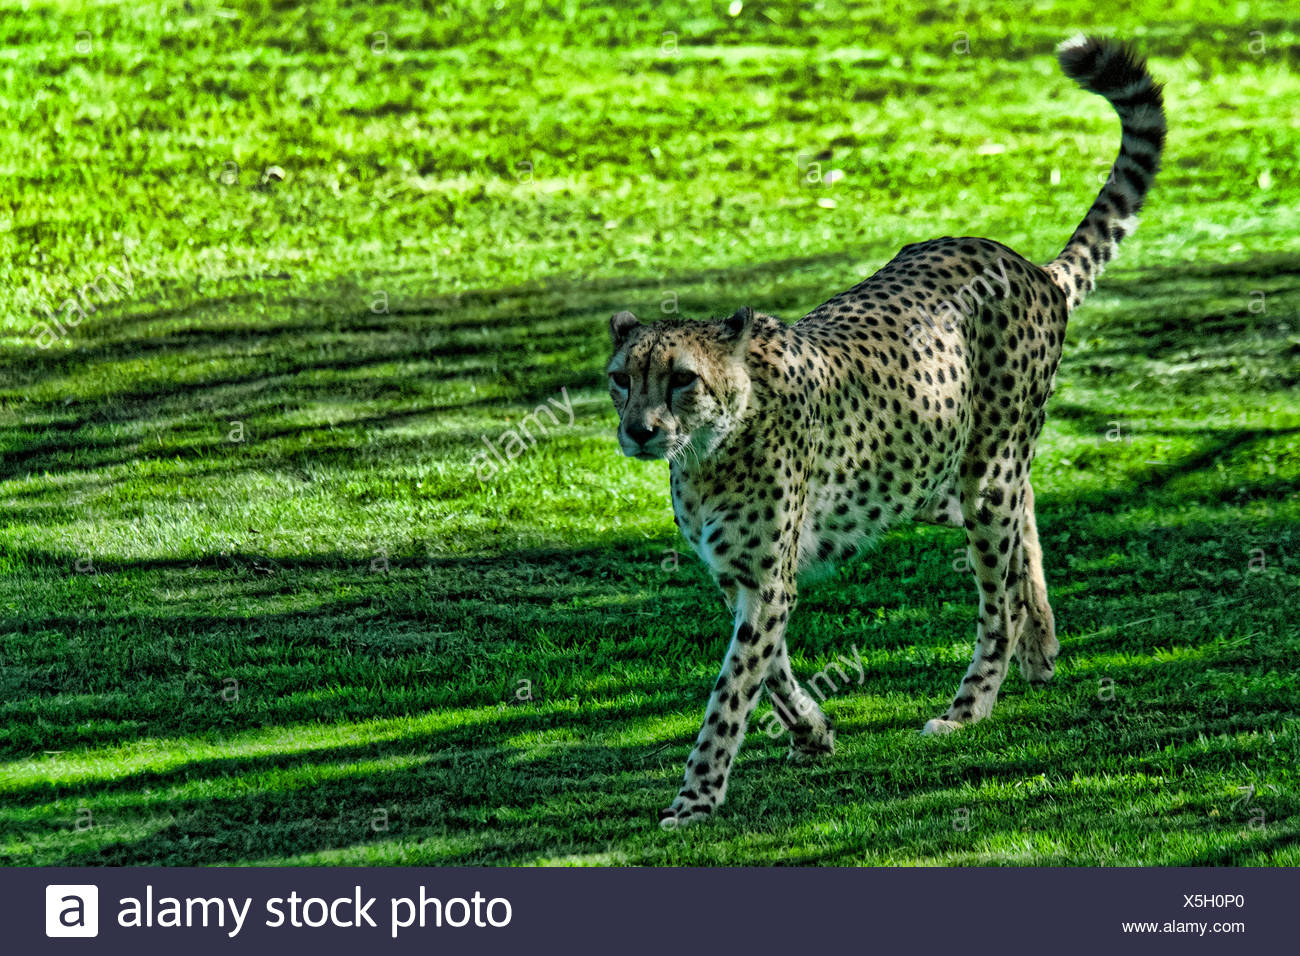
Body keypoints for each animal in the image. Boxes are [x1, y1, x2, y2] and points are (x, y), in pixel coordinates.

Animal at [605, 36, 1165, 827]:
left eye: (681, 379)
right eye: (622, 378)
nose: (640, 431)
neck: (712, 449)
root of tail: (1025, 265)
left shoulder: (766, 580)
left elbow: (732, 690)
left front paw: (696, 796)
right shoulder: (740, 574)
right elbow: (770, 672)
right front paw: (811, 732)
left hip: (983, 477)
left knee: (997, 599)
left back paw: (969, 707)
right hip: (936, 477)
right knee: (1025, 527)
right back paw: (1041, 649)